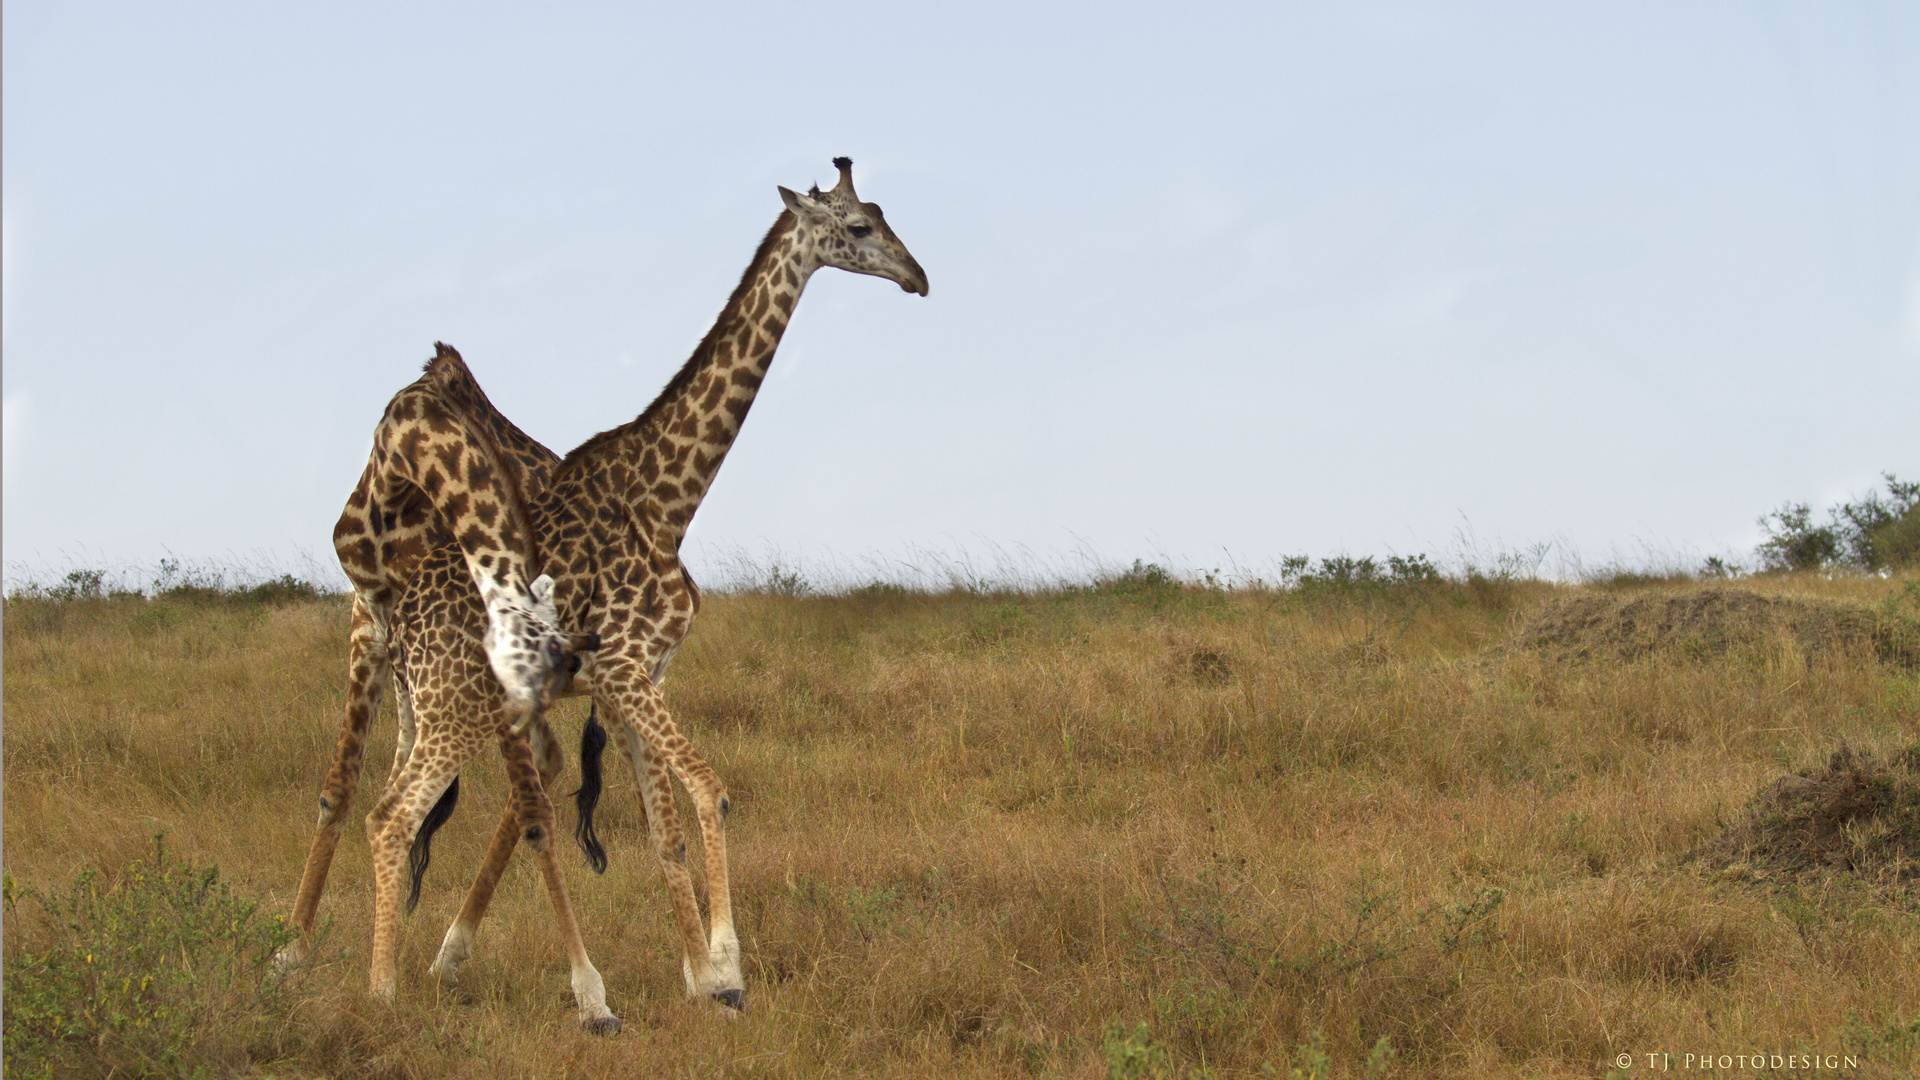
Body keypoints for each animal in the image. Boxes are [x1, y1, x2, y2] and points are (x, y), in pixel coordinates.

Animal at [362, 158, 927, 1030]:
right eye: (859, 227)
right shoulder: (626, 665)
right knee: (394, 816)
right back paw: (383, 995)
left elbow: (665, 831)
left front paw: (704, 981)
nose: (918, 277)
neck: (667, 500)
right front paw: (728, 969)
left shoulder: (643, 673)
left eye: (883, 212)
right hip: (453, 702)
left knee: (405, 809)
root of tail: (402, 621)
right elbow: (710, 792)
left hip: (436, 706)